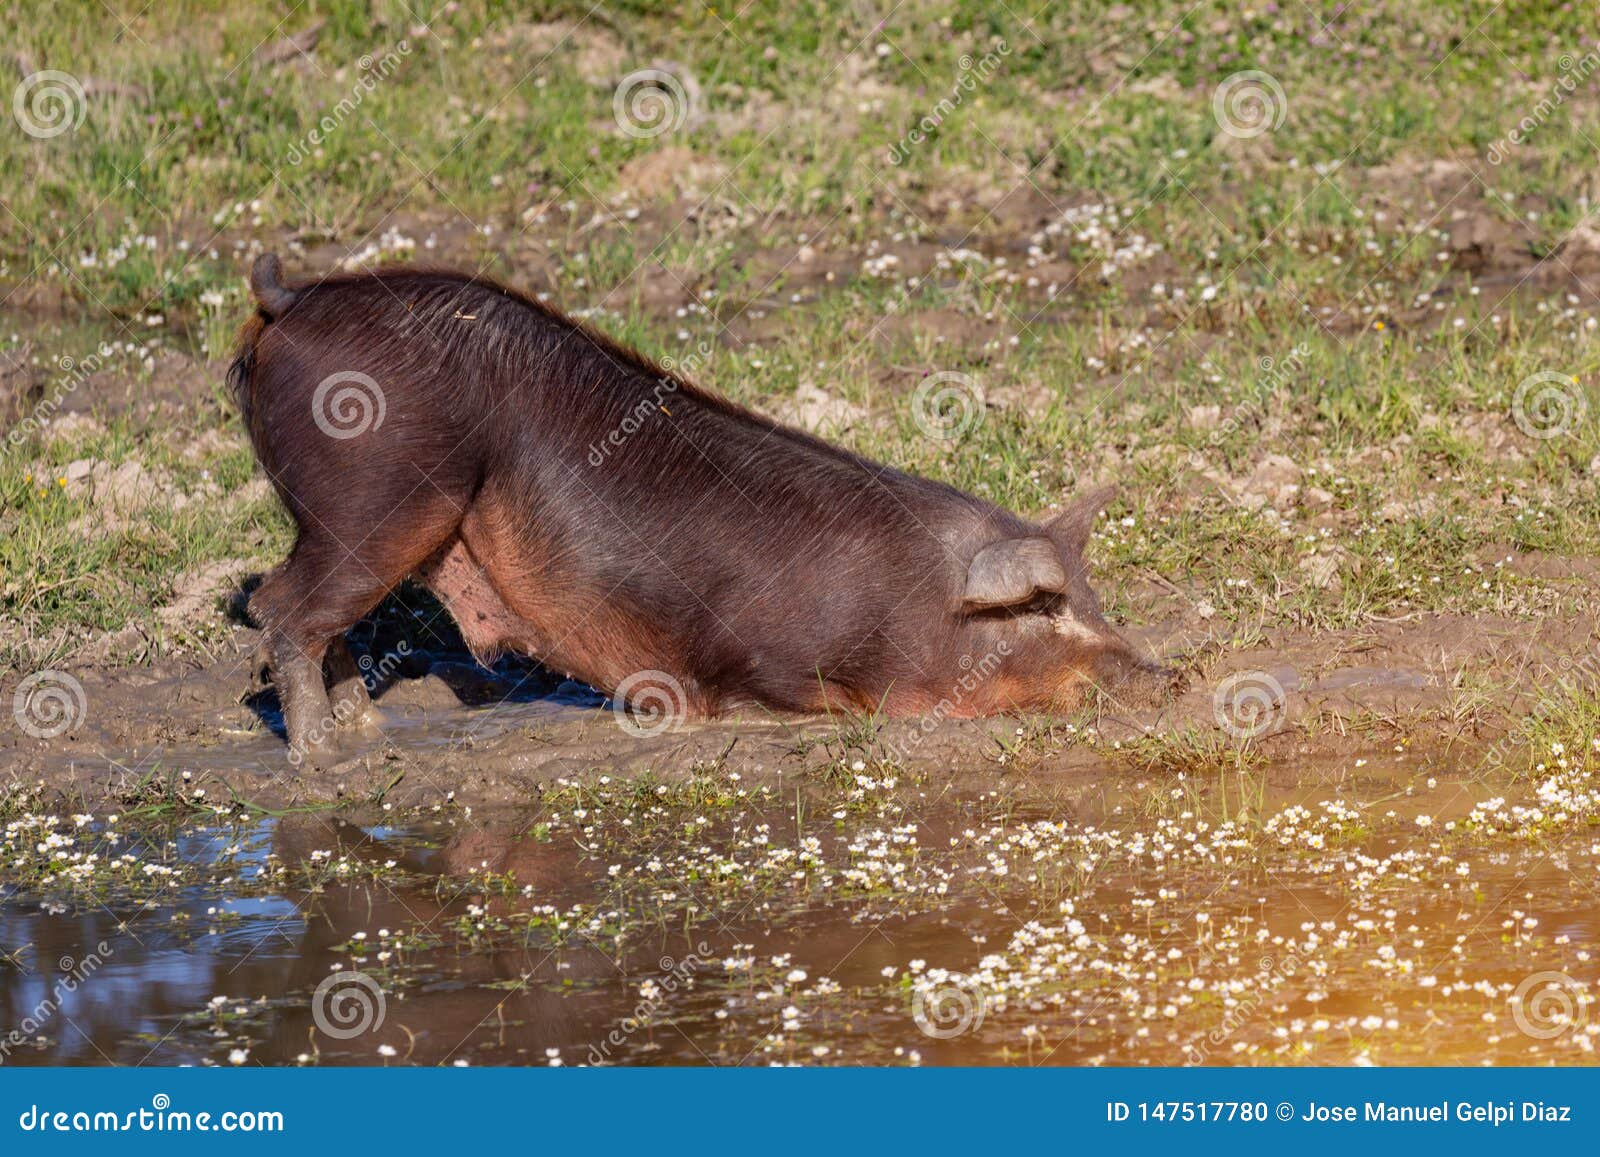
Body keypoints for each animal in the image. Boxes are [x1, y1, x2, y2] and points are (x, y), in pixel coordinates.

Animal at [231, 254, 1172, 769]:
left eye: (1091, 598)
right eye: (1041, 606)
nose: (1173, 675)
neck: (916, 605)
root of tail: (292, 299)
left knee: (321, 617)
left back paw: (370, 729)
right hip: (373, 501)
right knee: (282, 606)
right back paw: (325, 756)